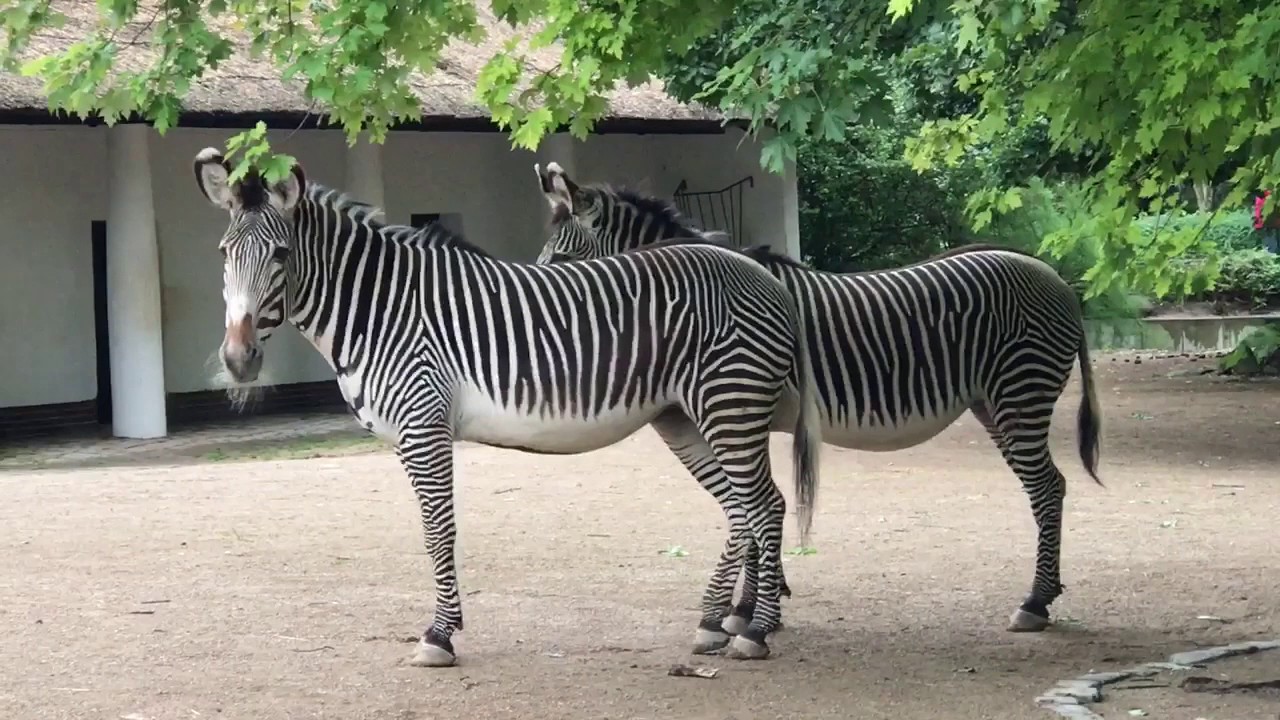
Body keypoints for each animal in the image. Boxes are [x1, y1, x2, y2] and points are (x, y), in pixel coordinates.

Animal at [191, 147, 823, 667]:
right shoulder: (405, 436)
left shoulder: (424, 424)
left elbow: (438, 531)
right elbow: (433, 530)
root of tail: (764, 275)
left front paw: (440, 636)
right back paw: (716, 623)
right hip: (687, 417)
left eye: (280, 254)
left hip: (730, 404)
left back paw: (756, 631)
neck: (382, 309)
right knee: (741, 509)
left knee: (765, 506)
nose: (239, 360)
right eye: (222, 254)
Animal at [532, 160, 1104, 638]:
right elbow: (754, 508)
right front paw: (755, 604)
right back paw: (1043, 595)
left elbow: (754, 506)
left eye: (562, 259)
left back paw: (1034, 602)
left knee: (1046, 488)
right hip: (991, 404)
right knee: (1047, 485)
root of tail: (1051, 273)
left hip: (1021, 392)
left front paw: (750, 611)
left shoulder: (741, 404)